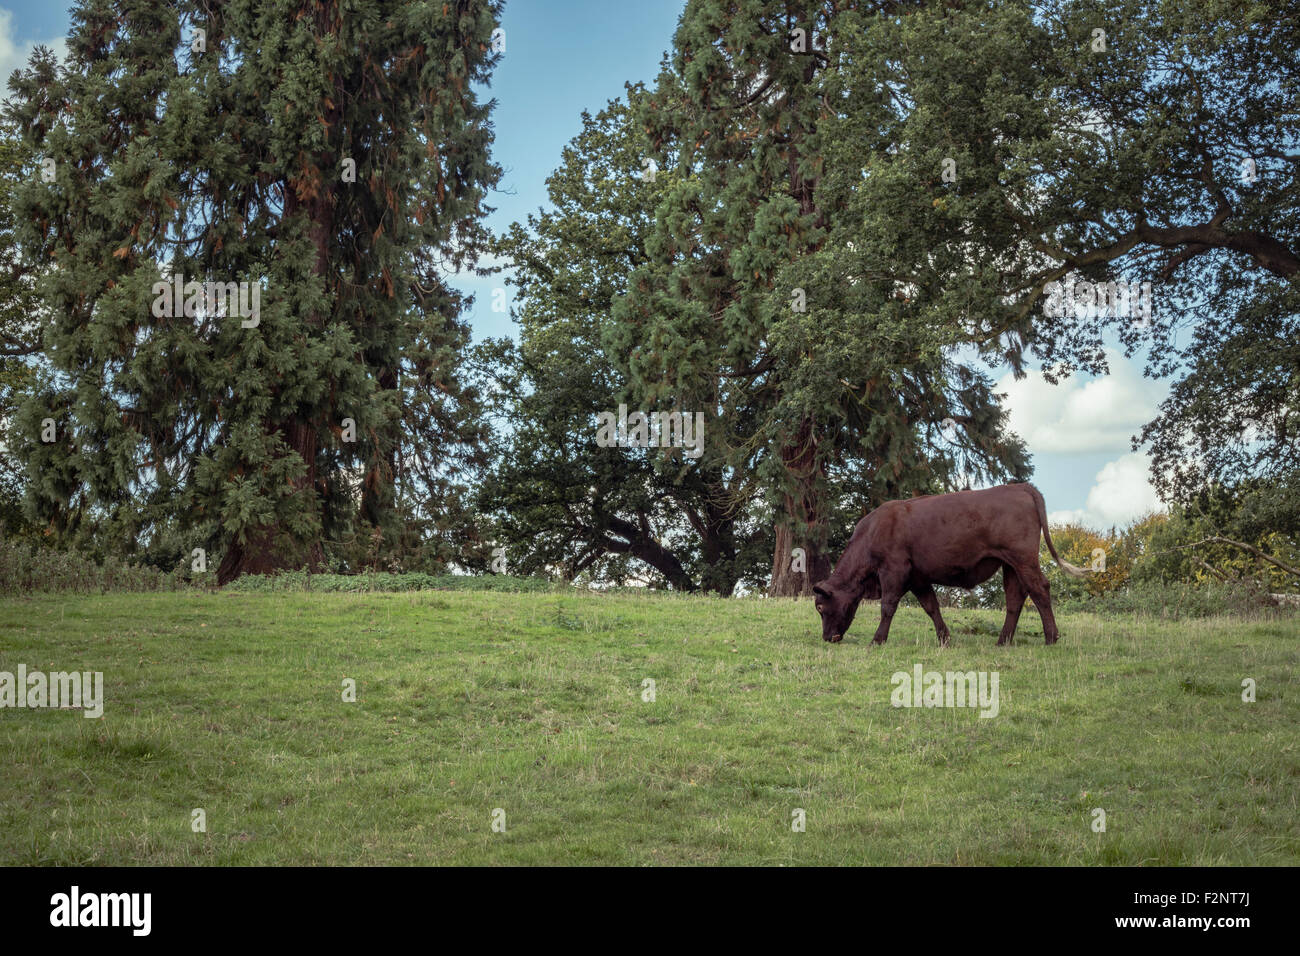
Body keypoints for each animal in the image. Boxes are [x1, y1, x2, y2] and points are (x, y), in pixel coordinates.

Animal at [812, 483, 1087, 646]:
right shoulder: (918, 578)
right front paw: (944, 638)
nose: (827, 638)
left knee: (1039, 589)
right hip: (1009, 564)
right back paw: (1003, 640)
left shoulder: (894, 569)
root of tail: (1018, 486)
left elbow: (888, 606)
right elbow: (931, 607)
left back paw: (1051, 637)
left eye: (821, 607)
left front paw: (877, 640)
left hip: (1023, 558)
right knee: (1015, 598)